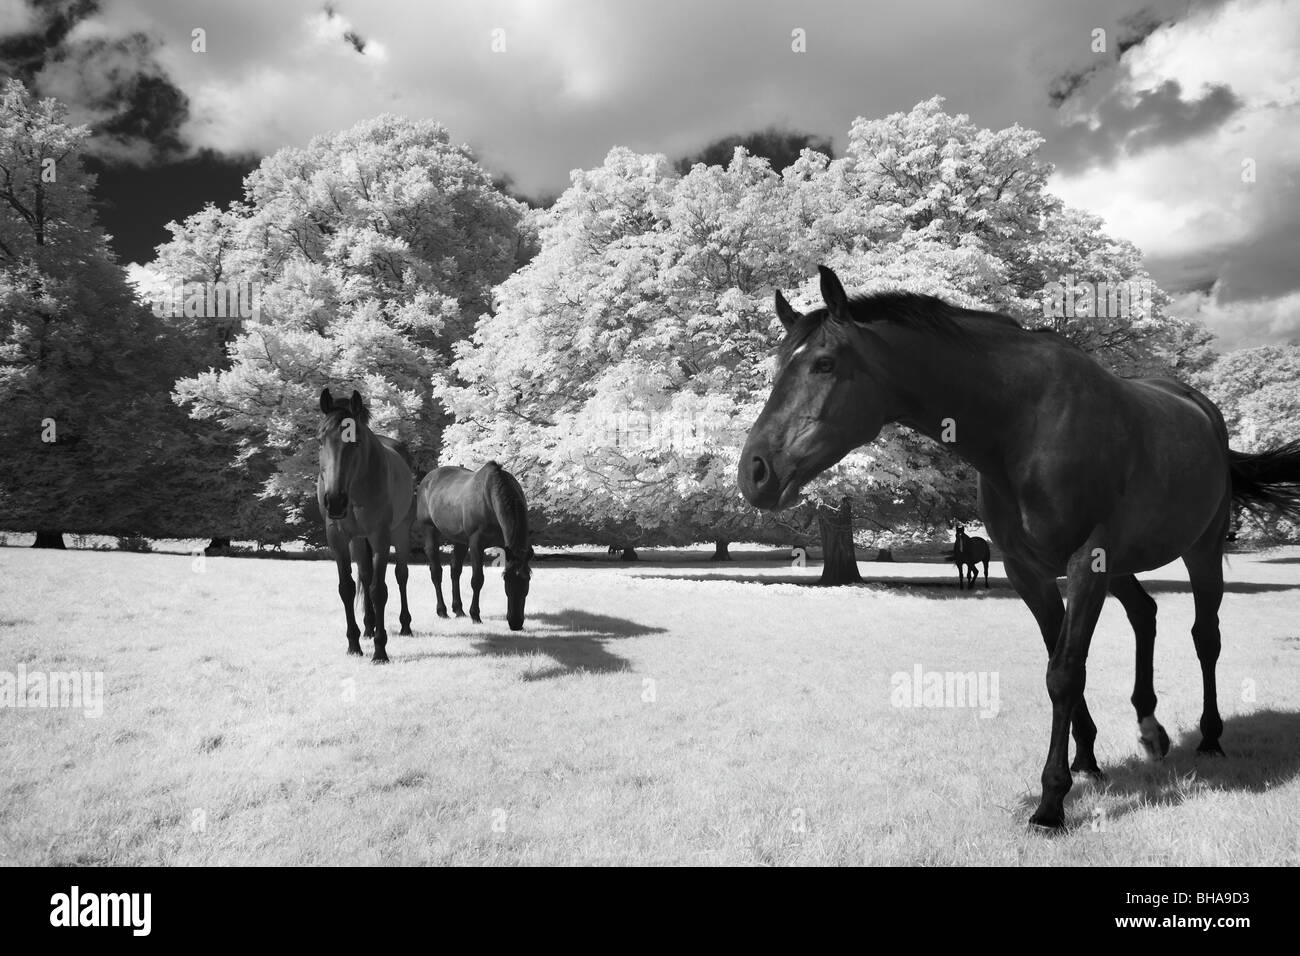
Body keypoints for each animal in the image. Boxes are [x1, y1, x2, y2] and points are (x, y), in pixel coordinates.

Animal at [317, 388, 415, 663]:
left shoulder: (380, 536)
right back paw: (369, 628)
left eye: (355, 441)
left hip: (400, 532)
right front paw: (353, 644)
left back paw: (405, 625)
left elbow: (378, 590)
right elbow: (347, 588)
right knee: (364, 573)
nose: (335, 501)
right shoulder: (338, 539)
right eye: (321, 440)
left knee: (401, 575)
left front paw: (380, 651)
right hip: (359, 540)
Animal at [415, 462, 532, 631]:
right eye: (507, 581)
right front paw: (475, 615)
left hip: (460, 541)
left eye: (526, 581)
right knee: (436, 572)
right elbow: (477, 580)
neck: (490, 498)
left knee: (455, 571)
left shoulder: (504, 547)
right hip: (430, 532)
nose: (516, 623)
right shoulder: (476, 544)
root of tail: (427, 478)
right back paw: (442, 611)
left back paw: (458, 610)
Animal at [738, 265, 1300, 830]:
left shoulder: (1085, 562)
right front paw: (1086, 759)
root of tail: (1203, 411)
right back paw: (1151, 731)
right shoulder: (1028, 571)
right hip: (1122, 567)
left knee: (1206, 637)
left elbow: (1065, 673)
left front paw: (1051, 802)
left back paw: (1209, 739)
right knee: (1145, 613)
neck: (1024, 423)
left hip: (1200, 550)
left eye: (824, 363)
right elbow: (1059, 663)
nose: (754, 472)